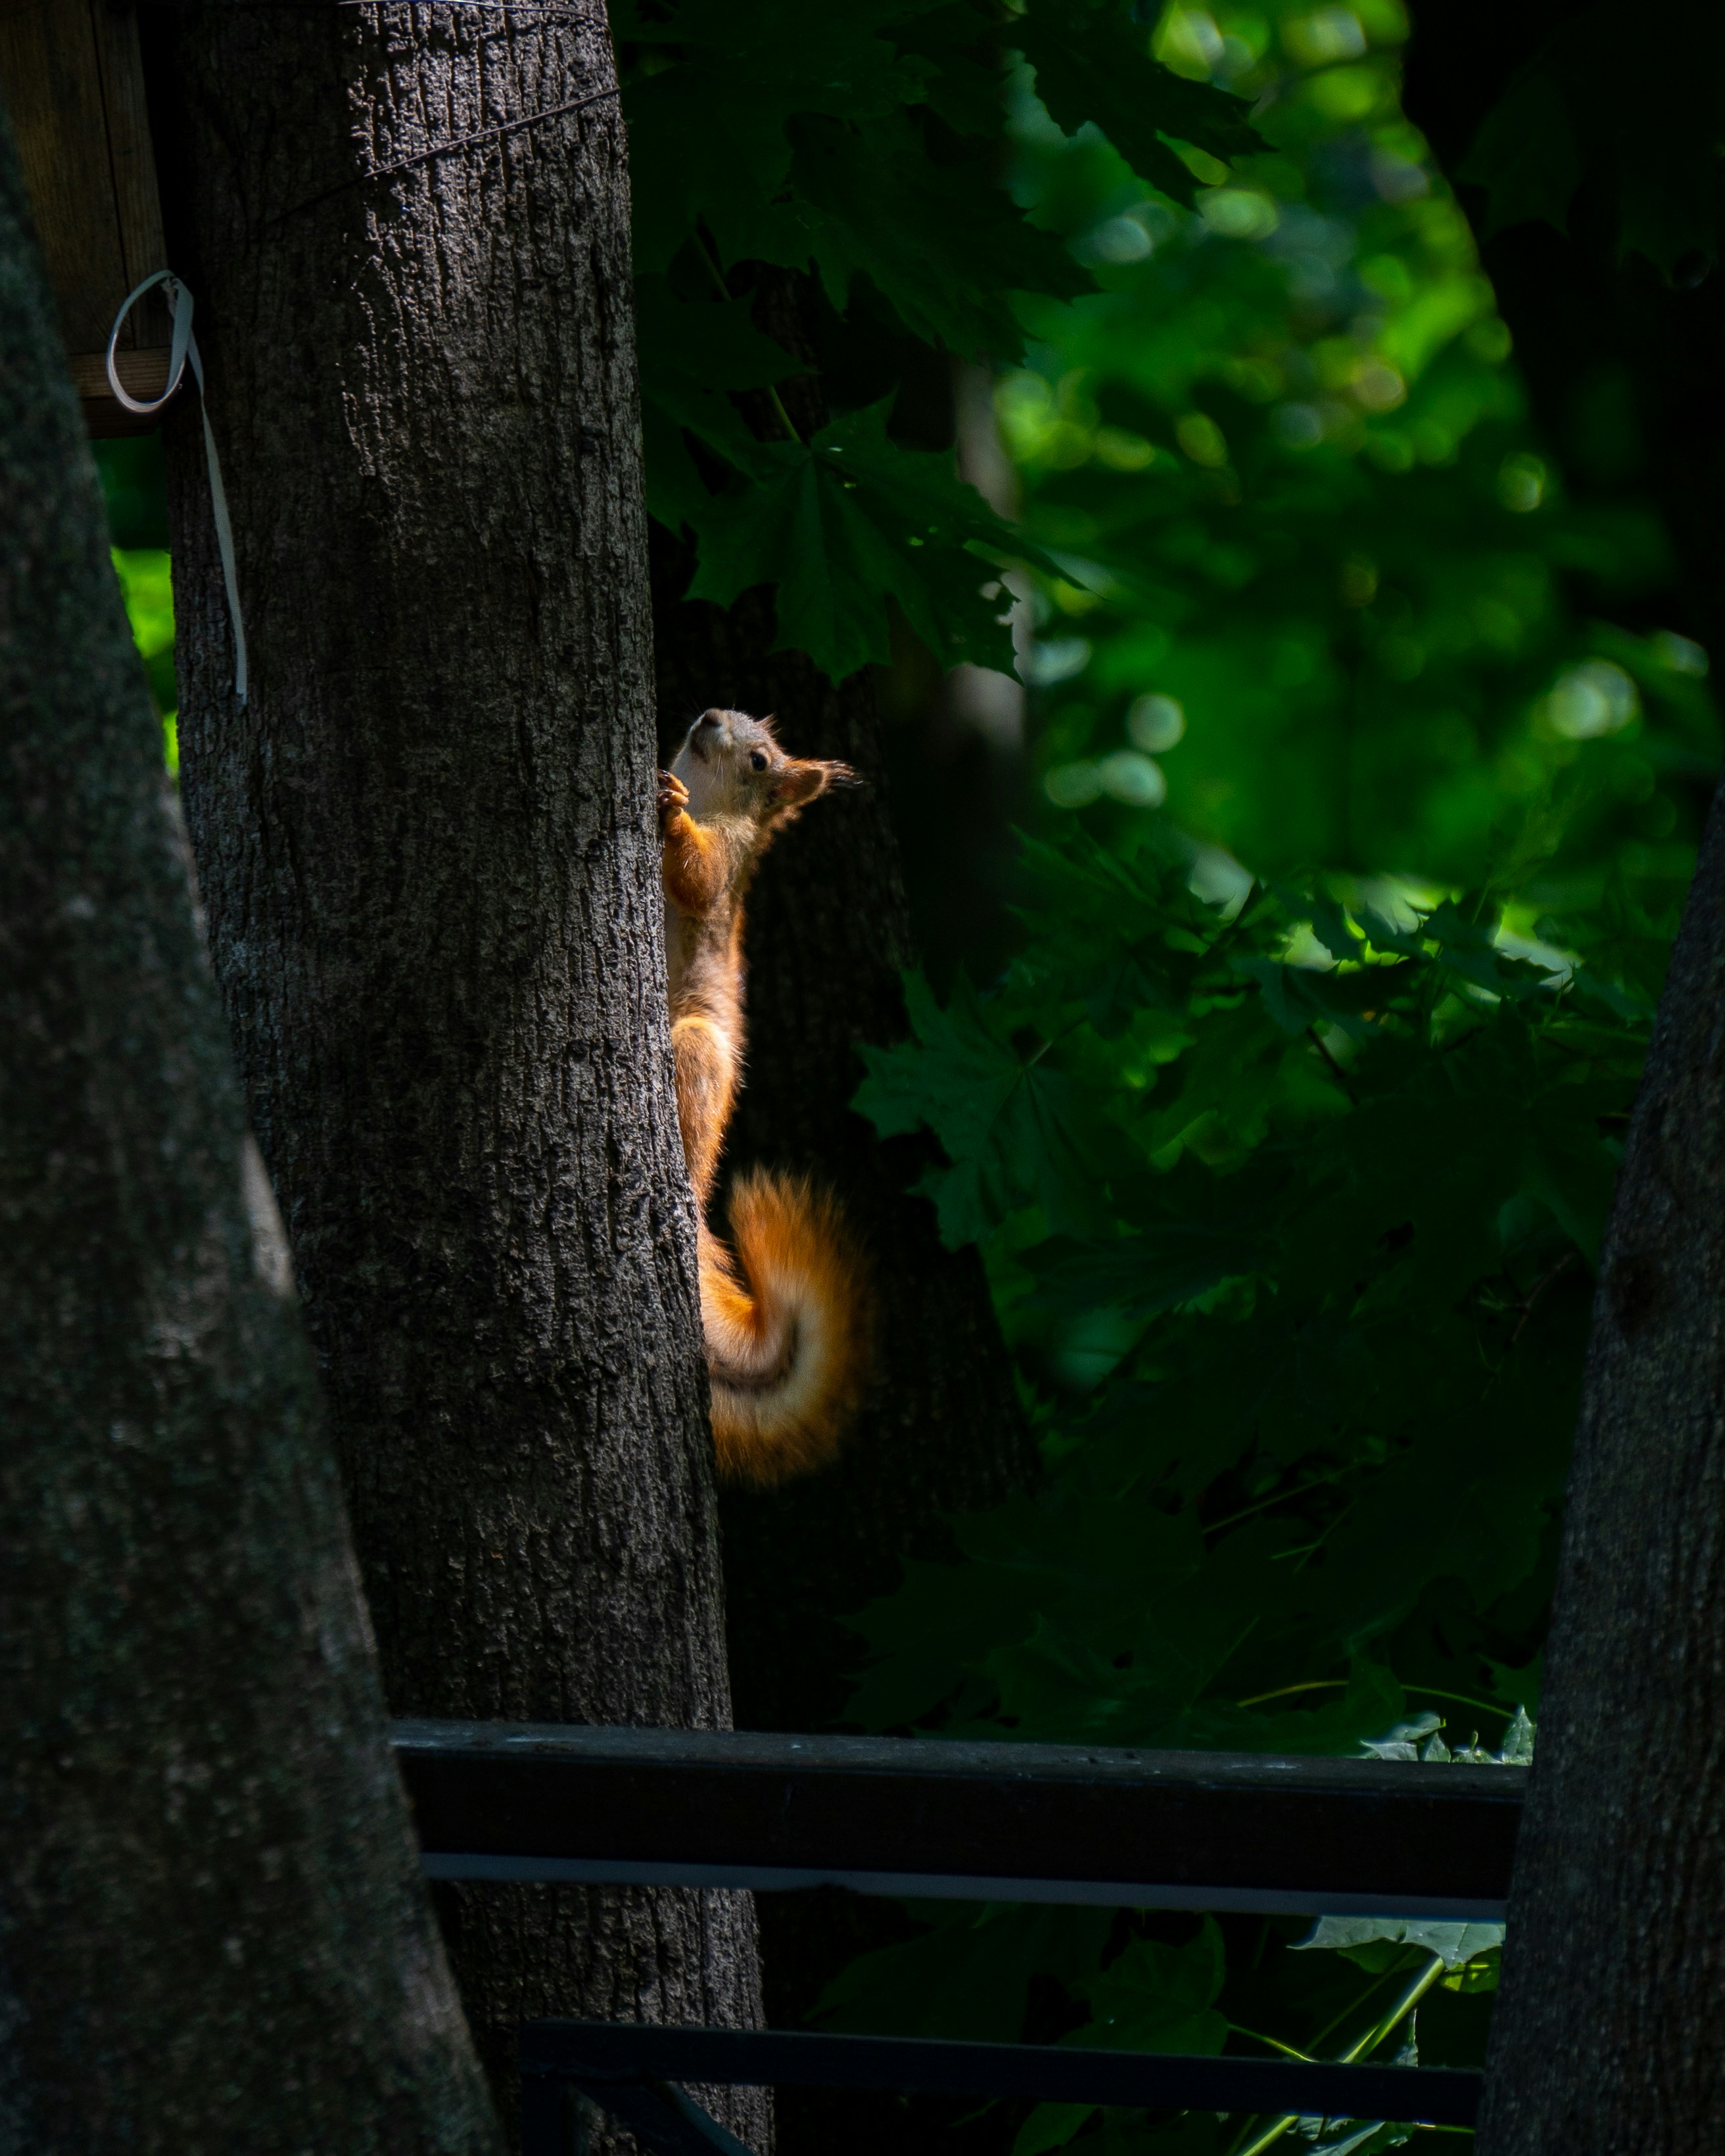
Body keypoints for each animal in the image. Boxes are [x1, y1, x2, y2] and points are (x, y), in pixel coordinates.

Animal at [658, 707, 871, 1486]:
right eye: (729, 711)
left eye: (759, 761)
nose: (708, 717)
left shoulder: (728, 865)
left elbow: (699, 880)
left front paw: (667, 810)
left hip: (698, 1049)